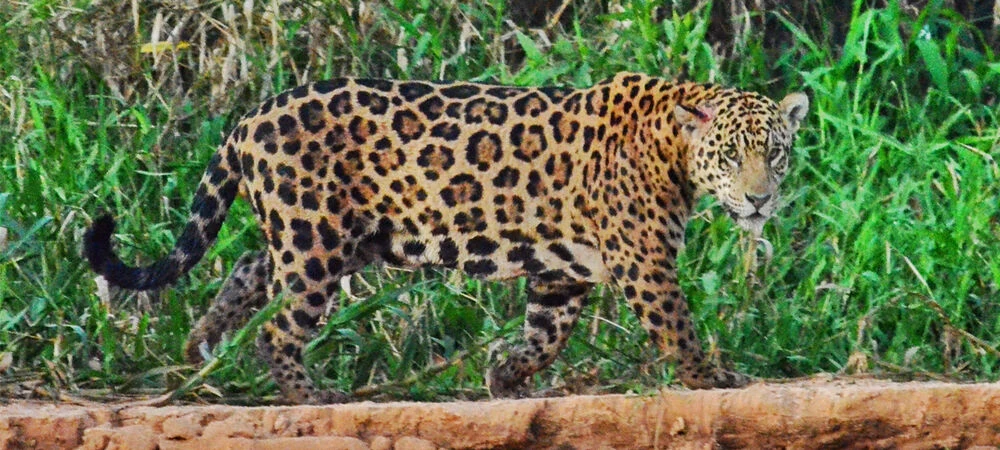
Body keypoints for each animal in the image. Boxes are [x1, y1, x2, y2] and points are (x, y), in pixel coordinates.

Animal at [84, 72, 808, 404]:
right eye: (731, 155)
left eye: (774, 153)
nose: (759, 199)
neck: (672, 144)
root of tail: (249, 116)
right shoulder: (644, 261)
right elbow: (678, 326)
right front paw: (713, 377)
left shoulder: (563, 271)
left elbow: (547, 335)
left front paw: (506, 377)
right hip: (316, 242)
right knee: (279, 327)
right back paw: (311, 395)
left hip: (317, 235)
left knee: (244, 271)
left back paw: (198, 349)